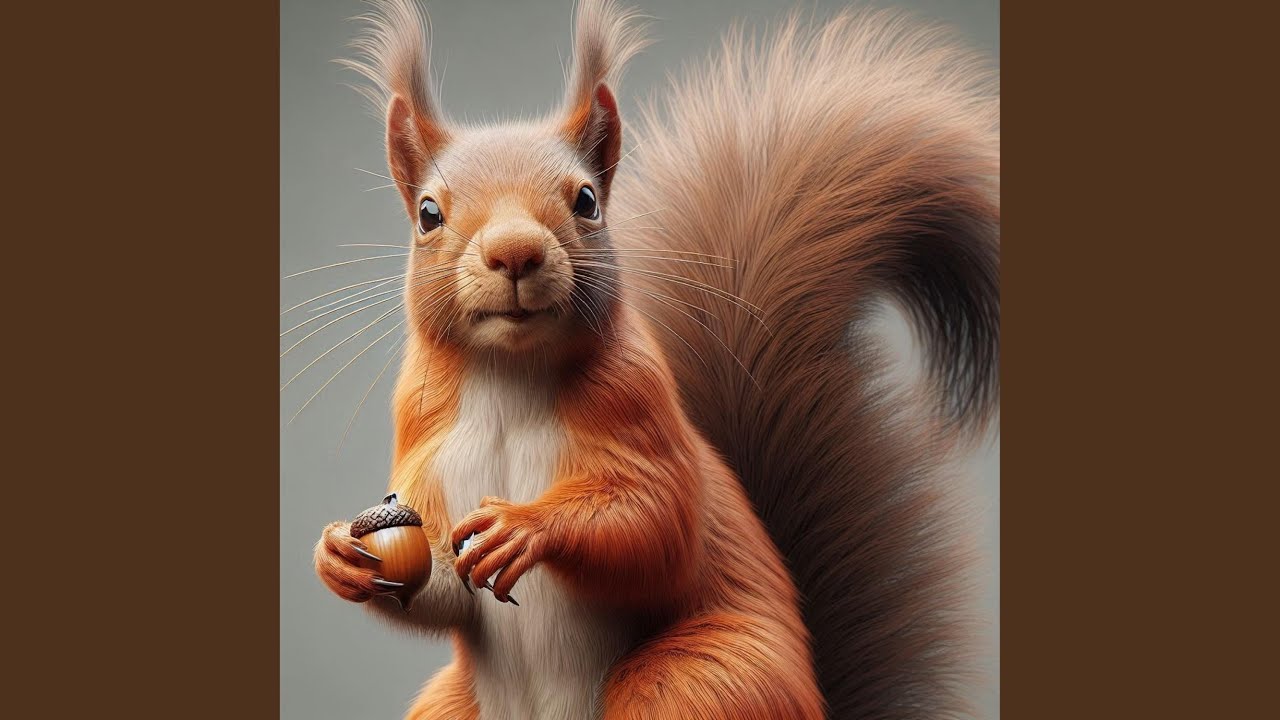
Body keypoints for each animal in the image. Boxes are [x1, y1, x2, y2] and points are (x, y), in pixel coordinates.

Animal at [313, 1, 999, 718]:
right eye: (427, 214)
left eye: (587, 201)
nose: (515, 251)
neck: (509, 377)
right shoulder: (426, 441)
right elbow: (438, 580)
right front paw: (337, 554)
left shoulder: (641, 407)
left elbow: (657, 523)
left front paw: (523, 524)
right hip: (453, 704)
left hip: (699, 680)